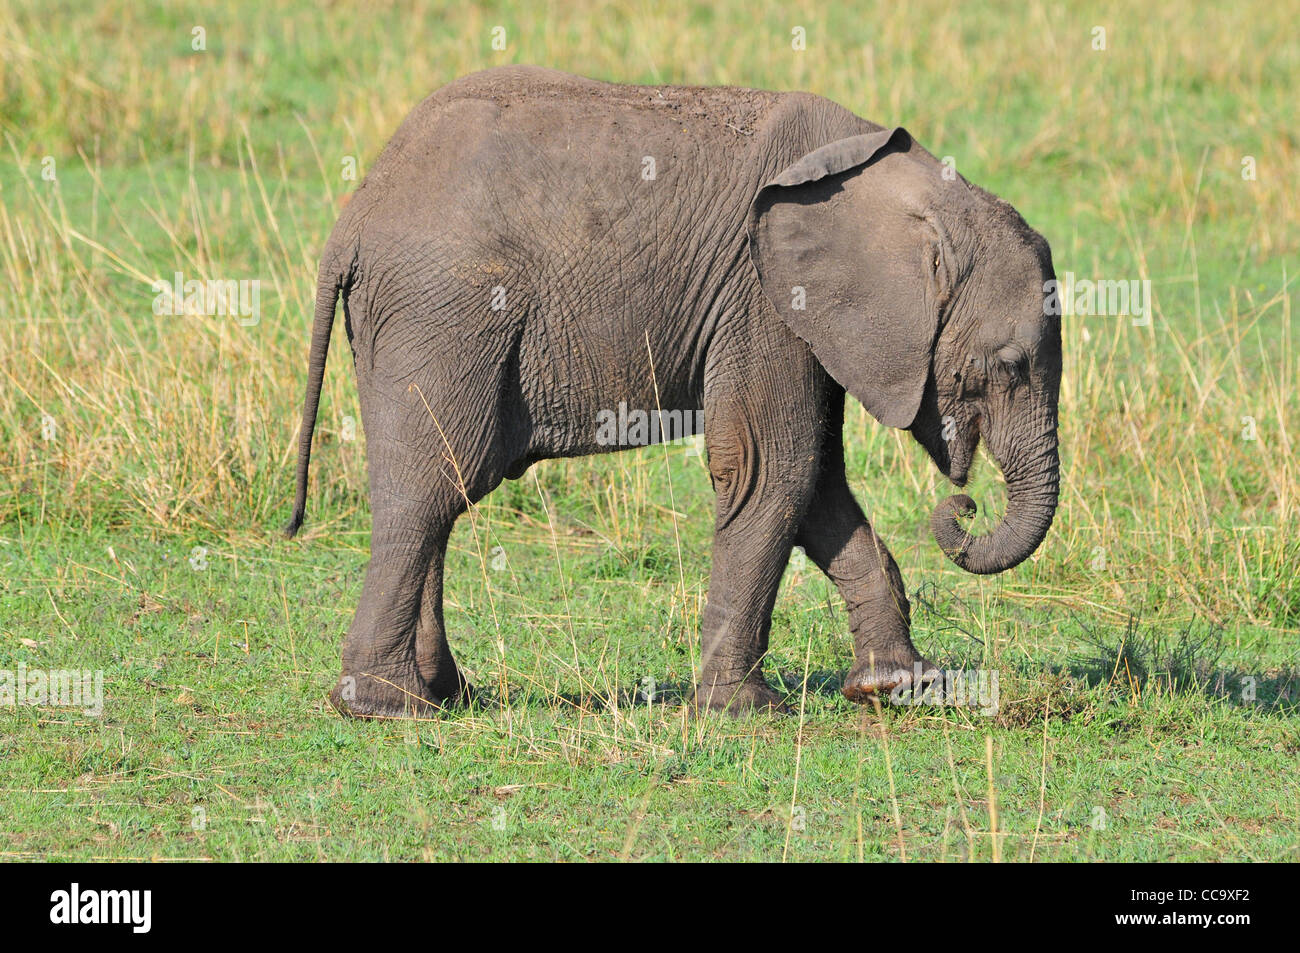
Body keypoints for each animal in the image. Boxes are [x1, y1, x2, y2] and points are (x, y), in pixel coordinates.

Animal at [285, 66, 1062, 719]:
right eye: (1009, 365)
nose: (963, 505)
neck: (916, 188)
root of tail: (357, 212)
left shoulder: (803, 318)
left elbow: (819, 486)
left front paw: (895, 688)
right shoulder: (760, 298)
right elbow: (771, 471)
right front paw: (745, 711)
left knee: (436, 490)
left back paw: (446, 695)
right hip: (446, 312)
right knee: (432, 487)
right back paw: (387, 707)